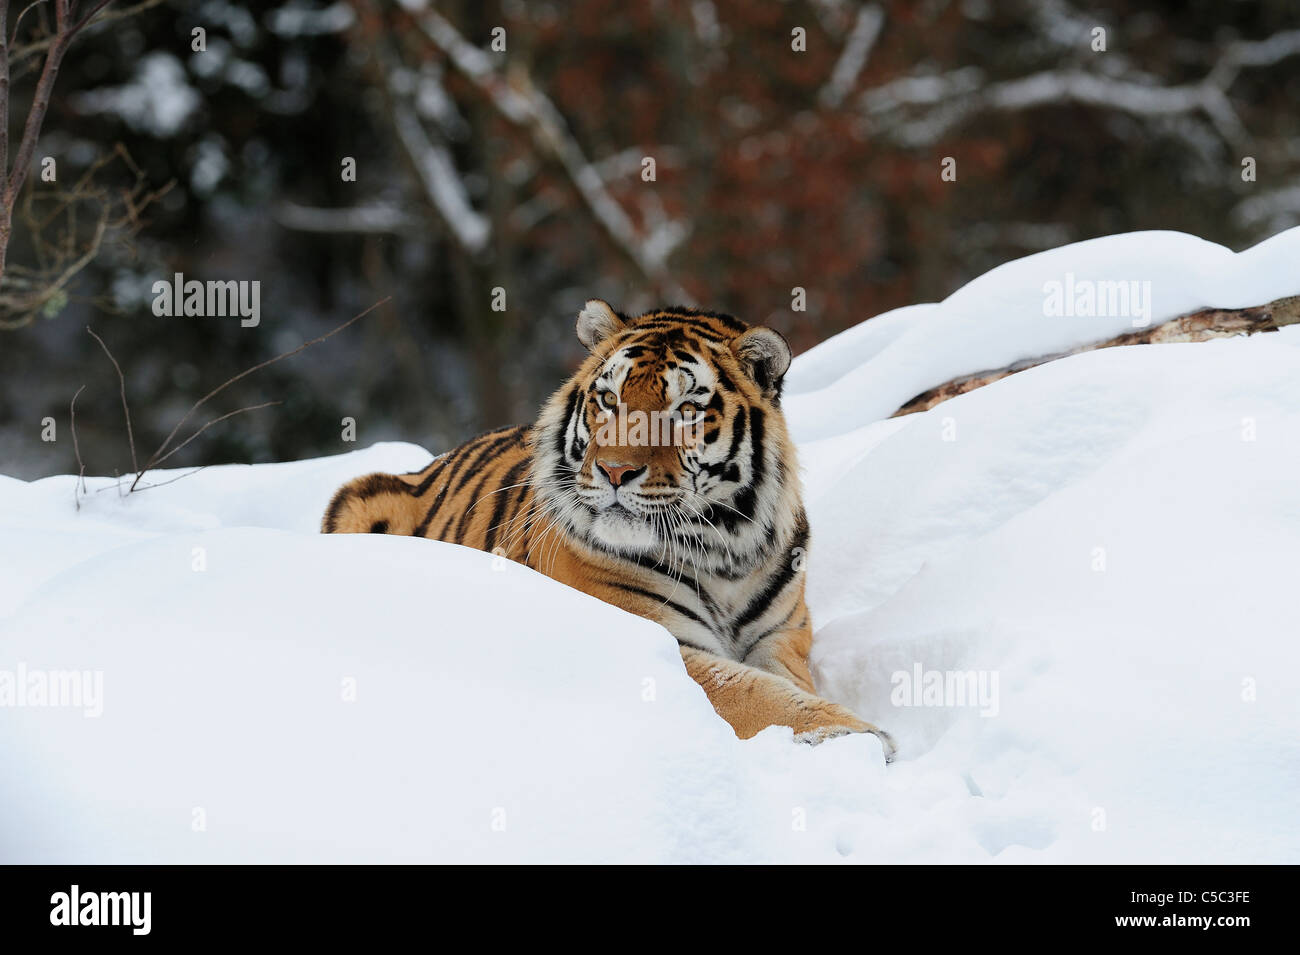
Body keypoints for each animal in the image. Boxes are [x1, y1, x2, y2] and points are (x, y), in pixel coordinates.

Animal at [322, 299, 895, 758]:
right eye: (608, 400)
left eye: (686, 409)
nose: (615, 471)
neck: (722, 547)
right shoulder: (659, 638)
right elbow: (752, 691)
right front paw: (860, 737)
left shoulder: (782, 638)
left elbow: (787, 684)